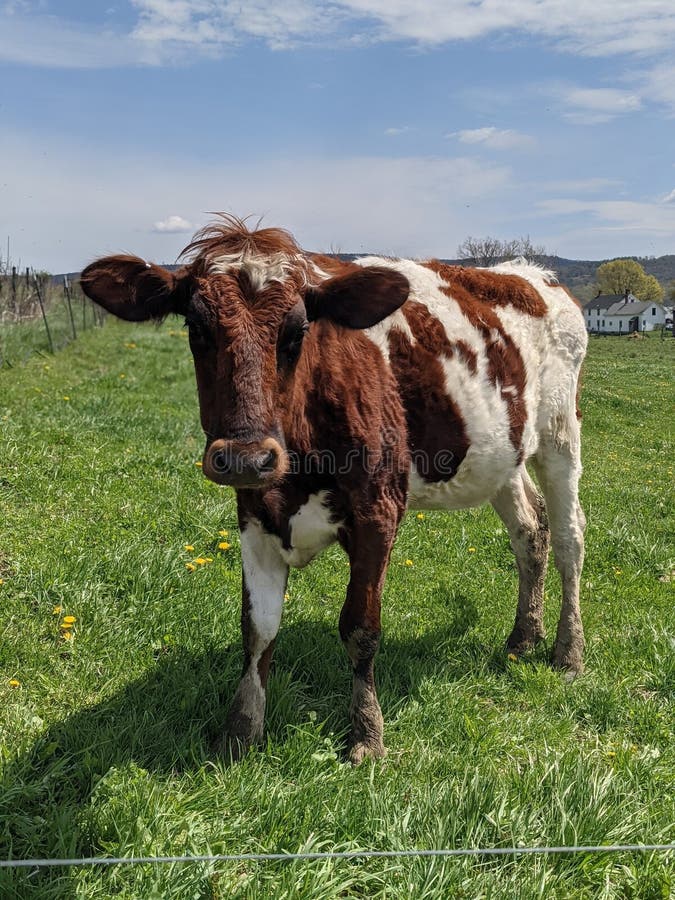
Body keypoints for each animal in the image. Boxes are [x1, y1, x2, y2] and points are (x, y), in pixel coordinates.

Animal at [80, 216, 587, 764]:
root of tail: (528, 272)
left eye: (298, 330)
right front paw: (240, 731)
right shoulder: (253, 513)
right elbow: (257, 629)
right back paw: (523, 637)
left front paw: (366, 732)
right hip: (501, 455)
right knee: (529, 531)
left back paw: (568, 651)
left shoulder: (377, 513)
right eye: (196, 328)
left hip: (560, 434)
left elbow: (360, 627)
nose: (245, 457)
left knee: (569, 538)